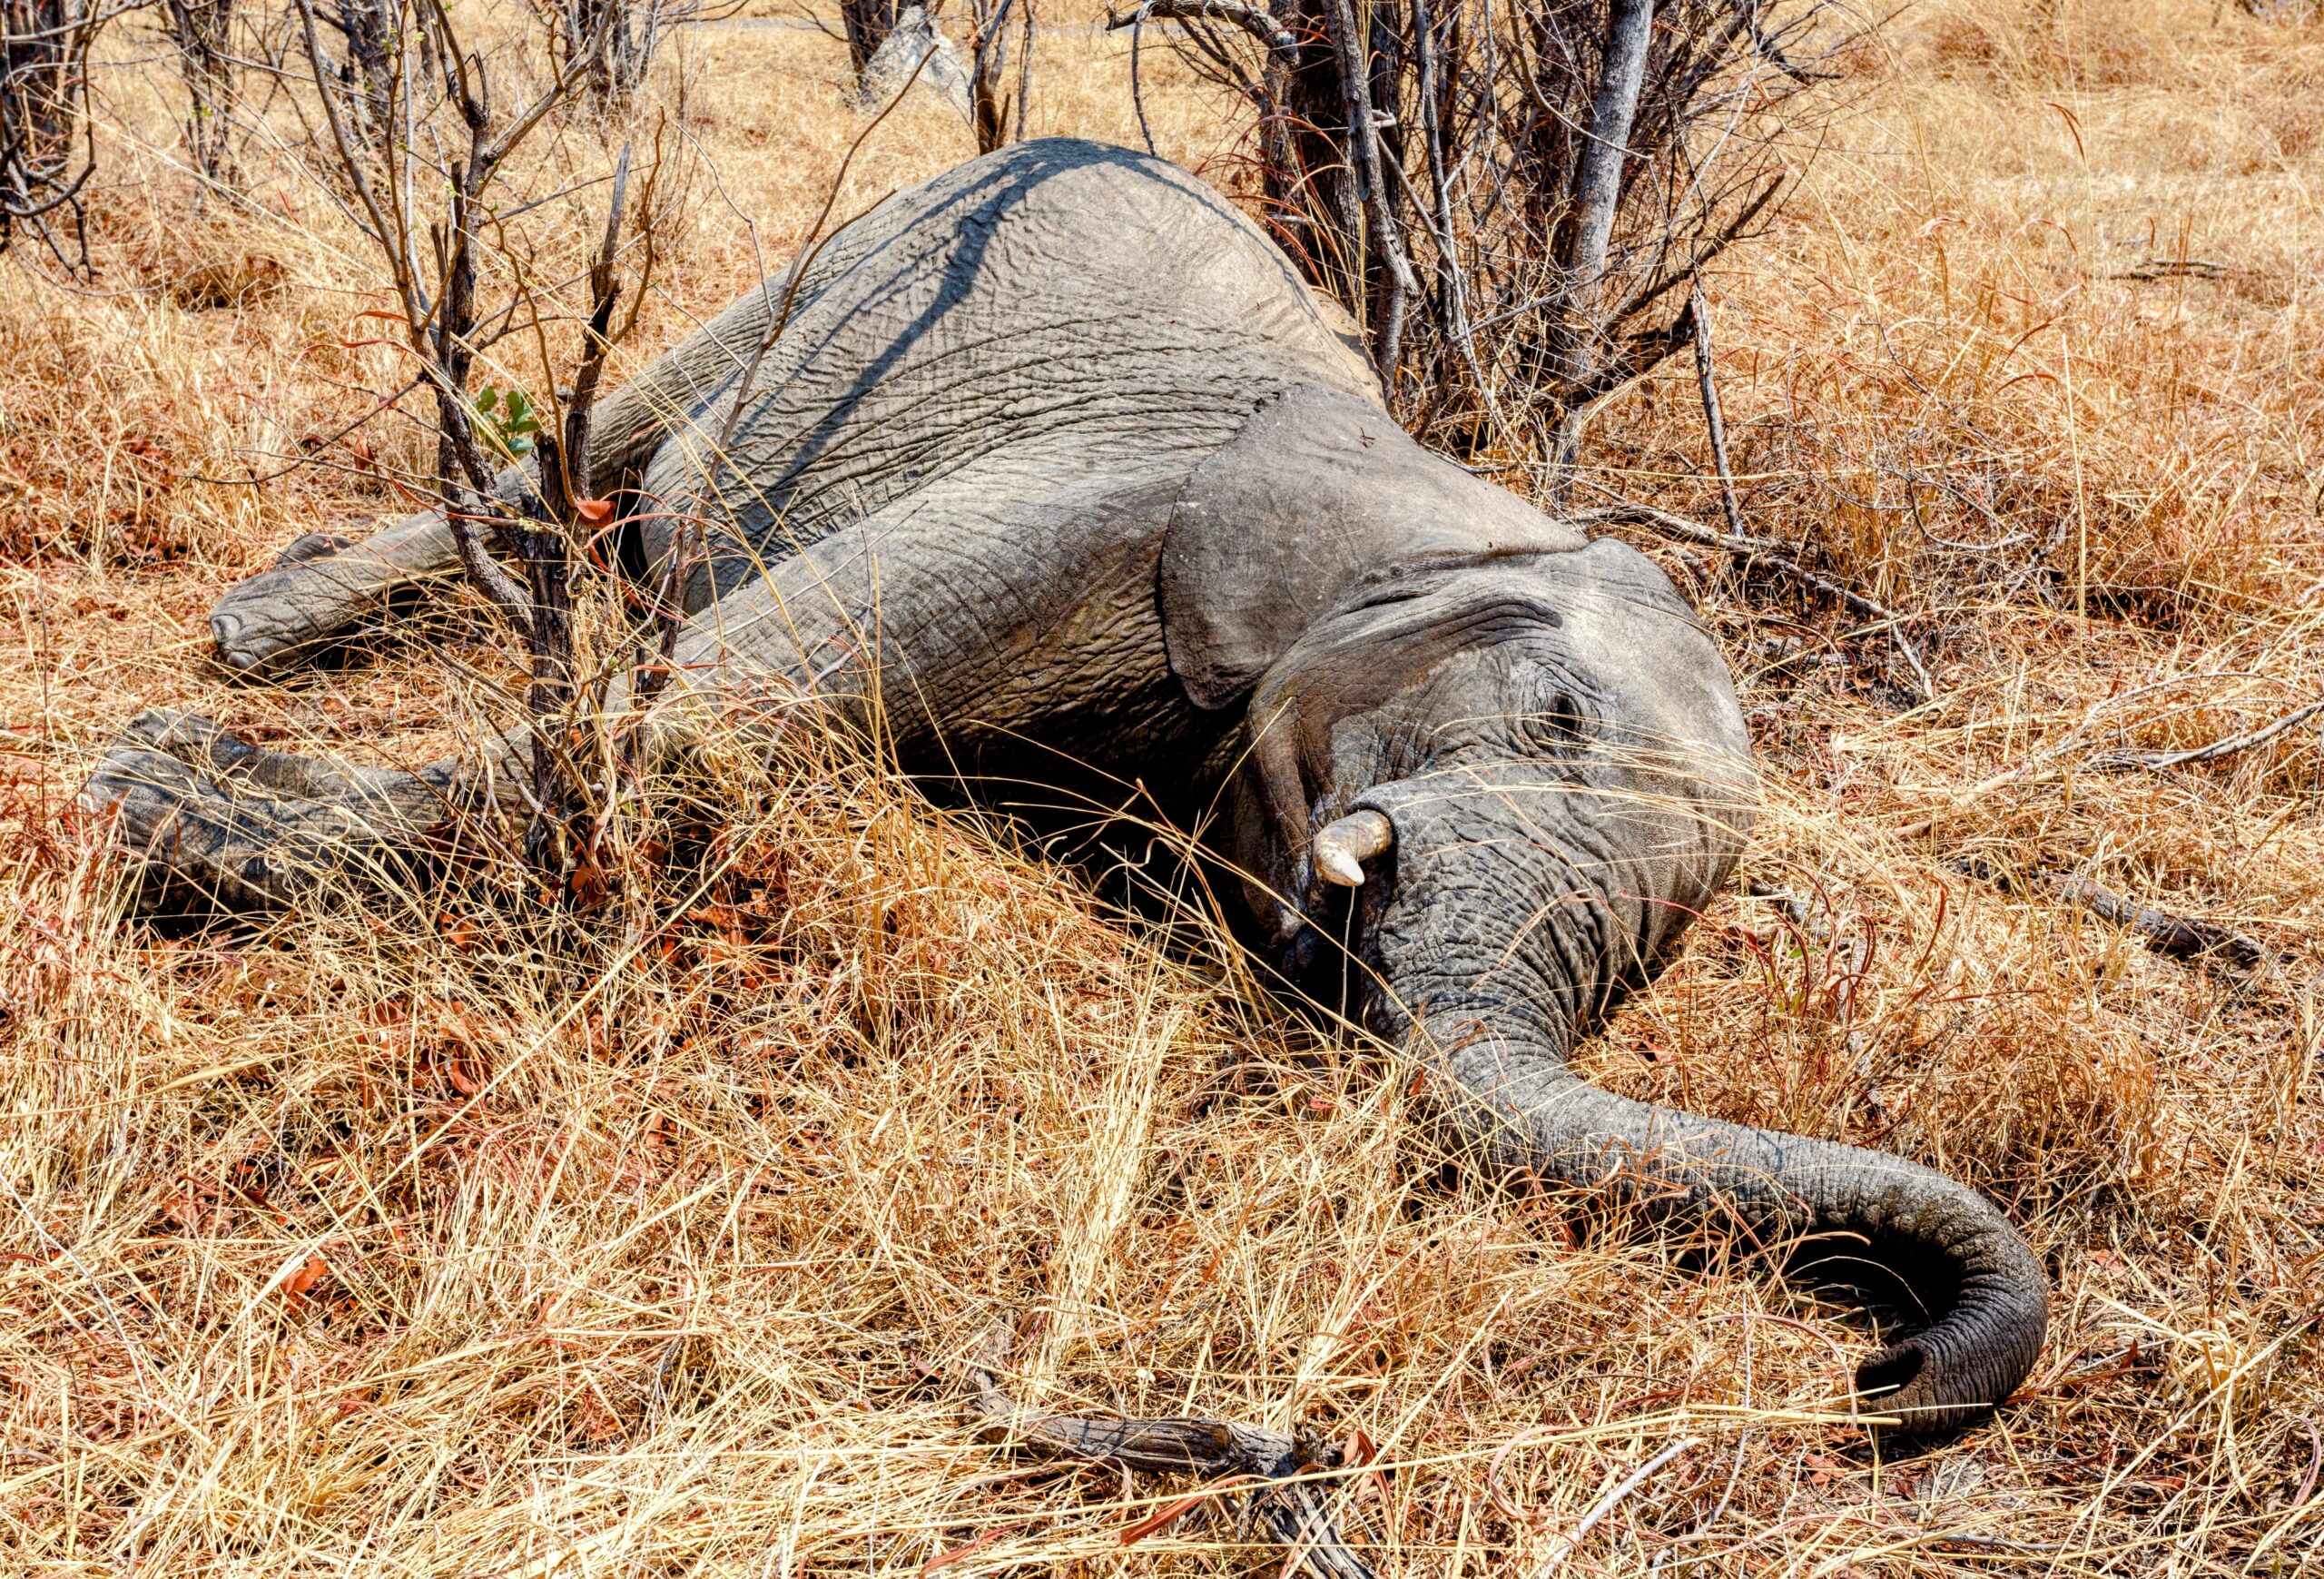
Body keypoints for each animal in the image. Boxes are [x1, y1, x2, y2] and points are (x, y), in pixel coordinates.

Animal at [84, 137, 2046, 1434]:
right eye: (1554, 712)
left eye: (1655, 961)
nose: (1877, 1366)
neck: (1456, 508)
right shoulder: (1123, 503)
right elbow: (715, 714)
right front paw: (159, 796)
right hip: (858, 250)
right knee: (603, 439)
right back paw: (261, 633)